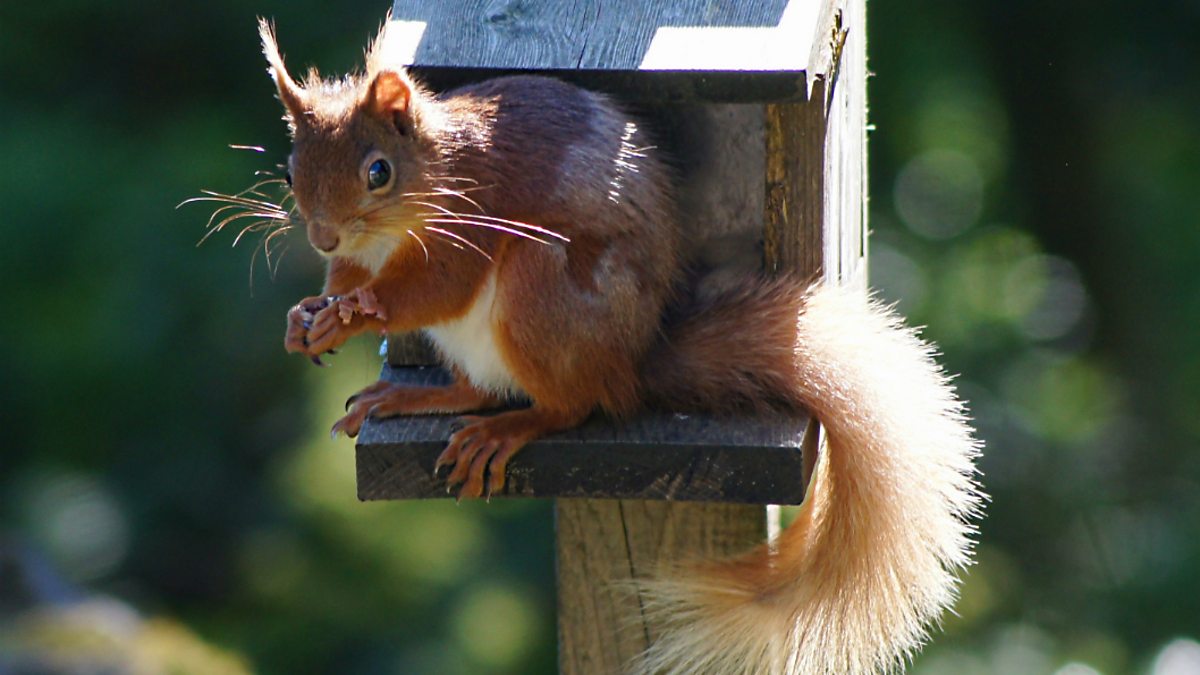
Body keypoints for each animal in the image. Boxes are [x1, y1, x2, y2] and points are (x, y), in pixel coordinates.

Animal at [258, 19, 982, 675]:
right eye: (291, 170)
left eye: (378, 171)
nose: (321, 236)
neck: (431, 174)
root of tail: (631, 366)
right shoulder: (363, 253)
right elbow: (346, 278)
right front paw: (308, 315)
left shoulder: (471, 219)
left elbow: (435, 288)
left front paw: (357, 313)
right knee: (479, 388)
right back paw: (406, 395)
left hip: (541, 288)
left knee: (569, 404)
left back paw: (509, 427)